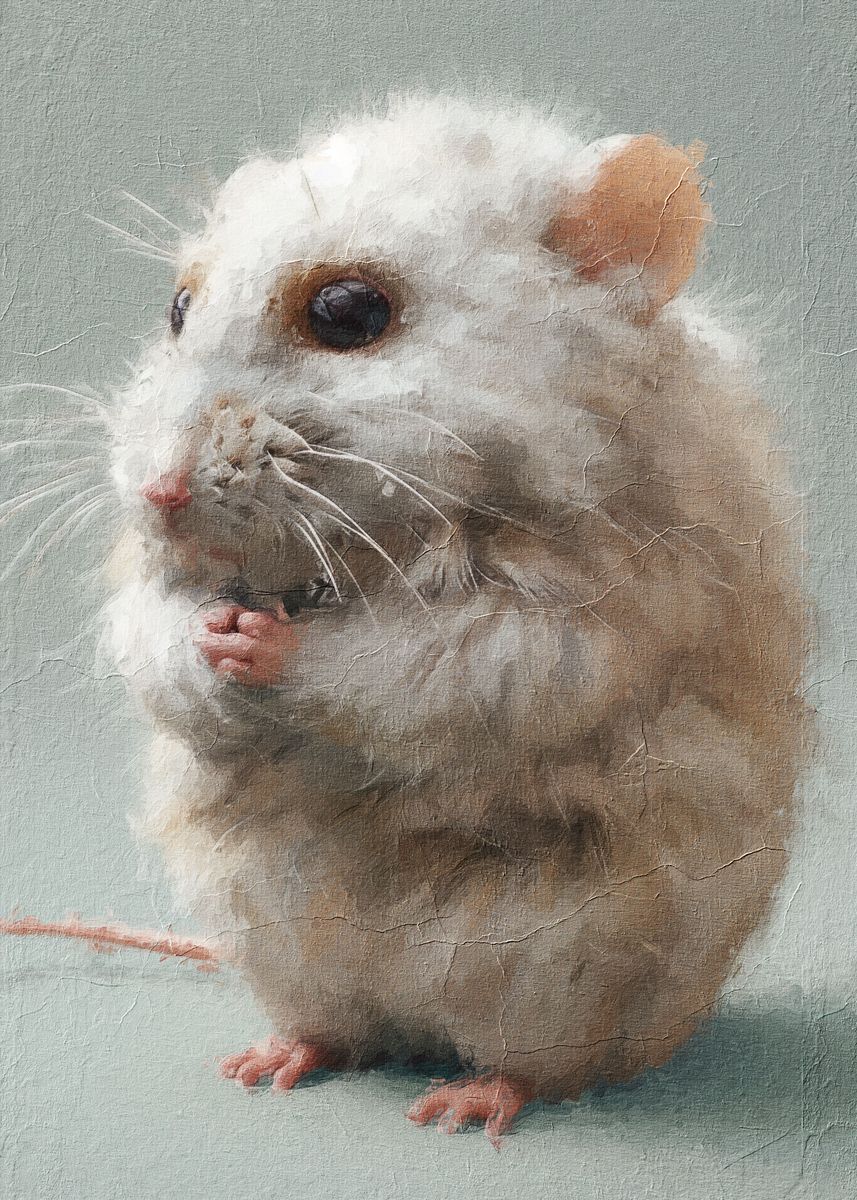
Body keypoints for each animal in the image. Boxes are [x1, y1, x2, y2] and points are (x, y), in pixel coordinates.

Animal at [105, 96, 808, 1140]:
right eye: (178, 310)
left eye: (347, 312)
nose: (157, 493)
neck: (359, 548)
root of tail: (412, 1026)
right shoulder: (151, 592)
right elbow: (149, 635)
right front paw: (208, 635)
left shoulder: (586, 609)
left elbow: (460, 664)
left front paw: (271, 645)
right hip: (269, 932)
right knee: (337, 1029)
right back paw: (274, 1056)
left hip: (557, 967)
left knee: (544, 1065)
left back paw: (471, 1101)